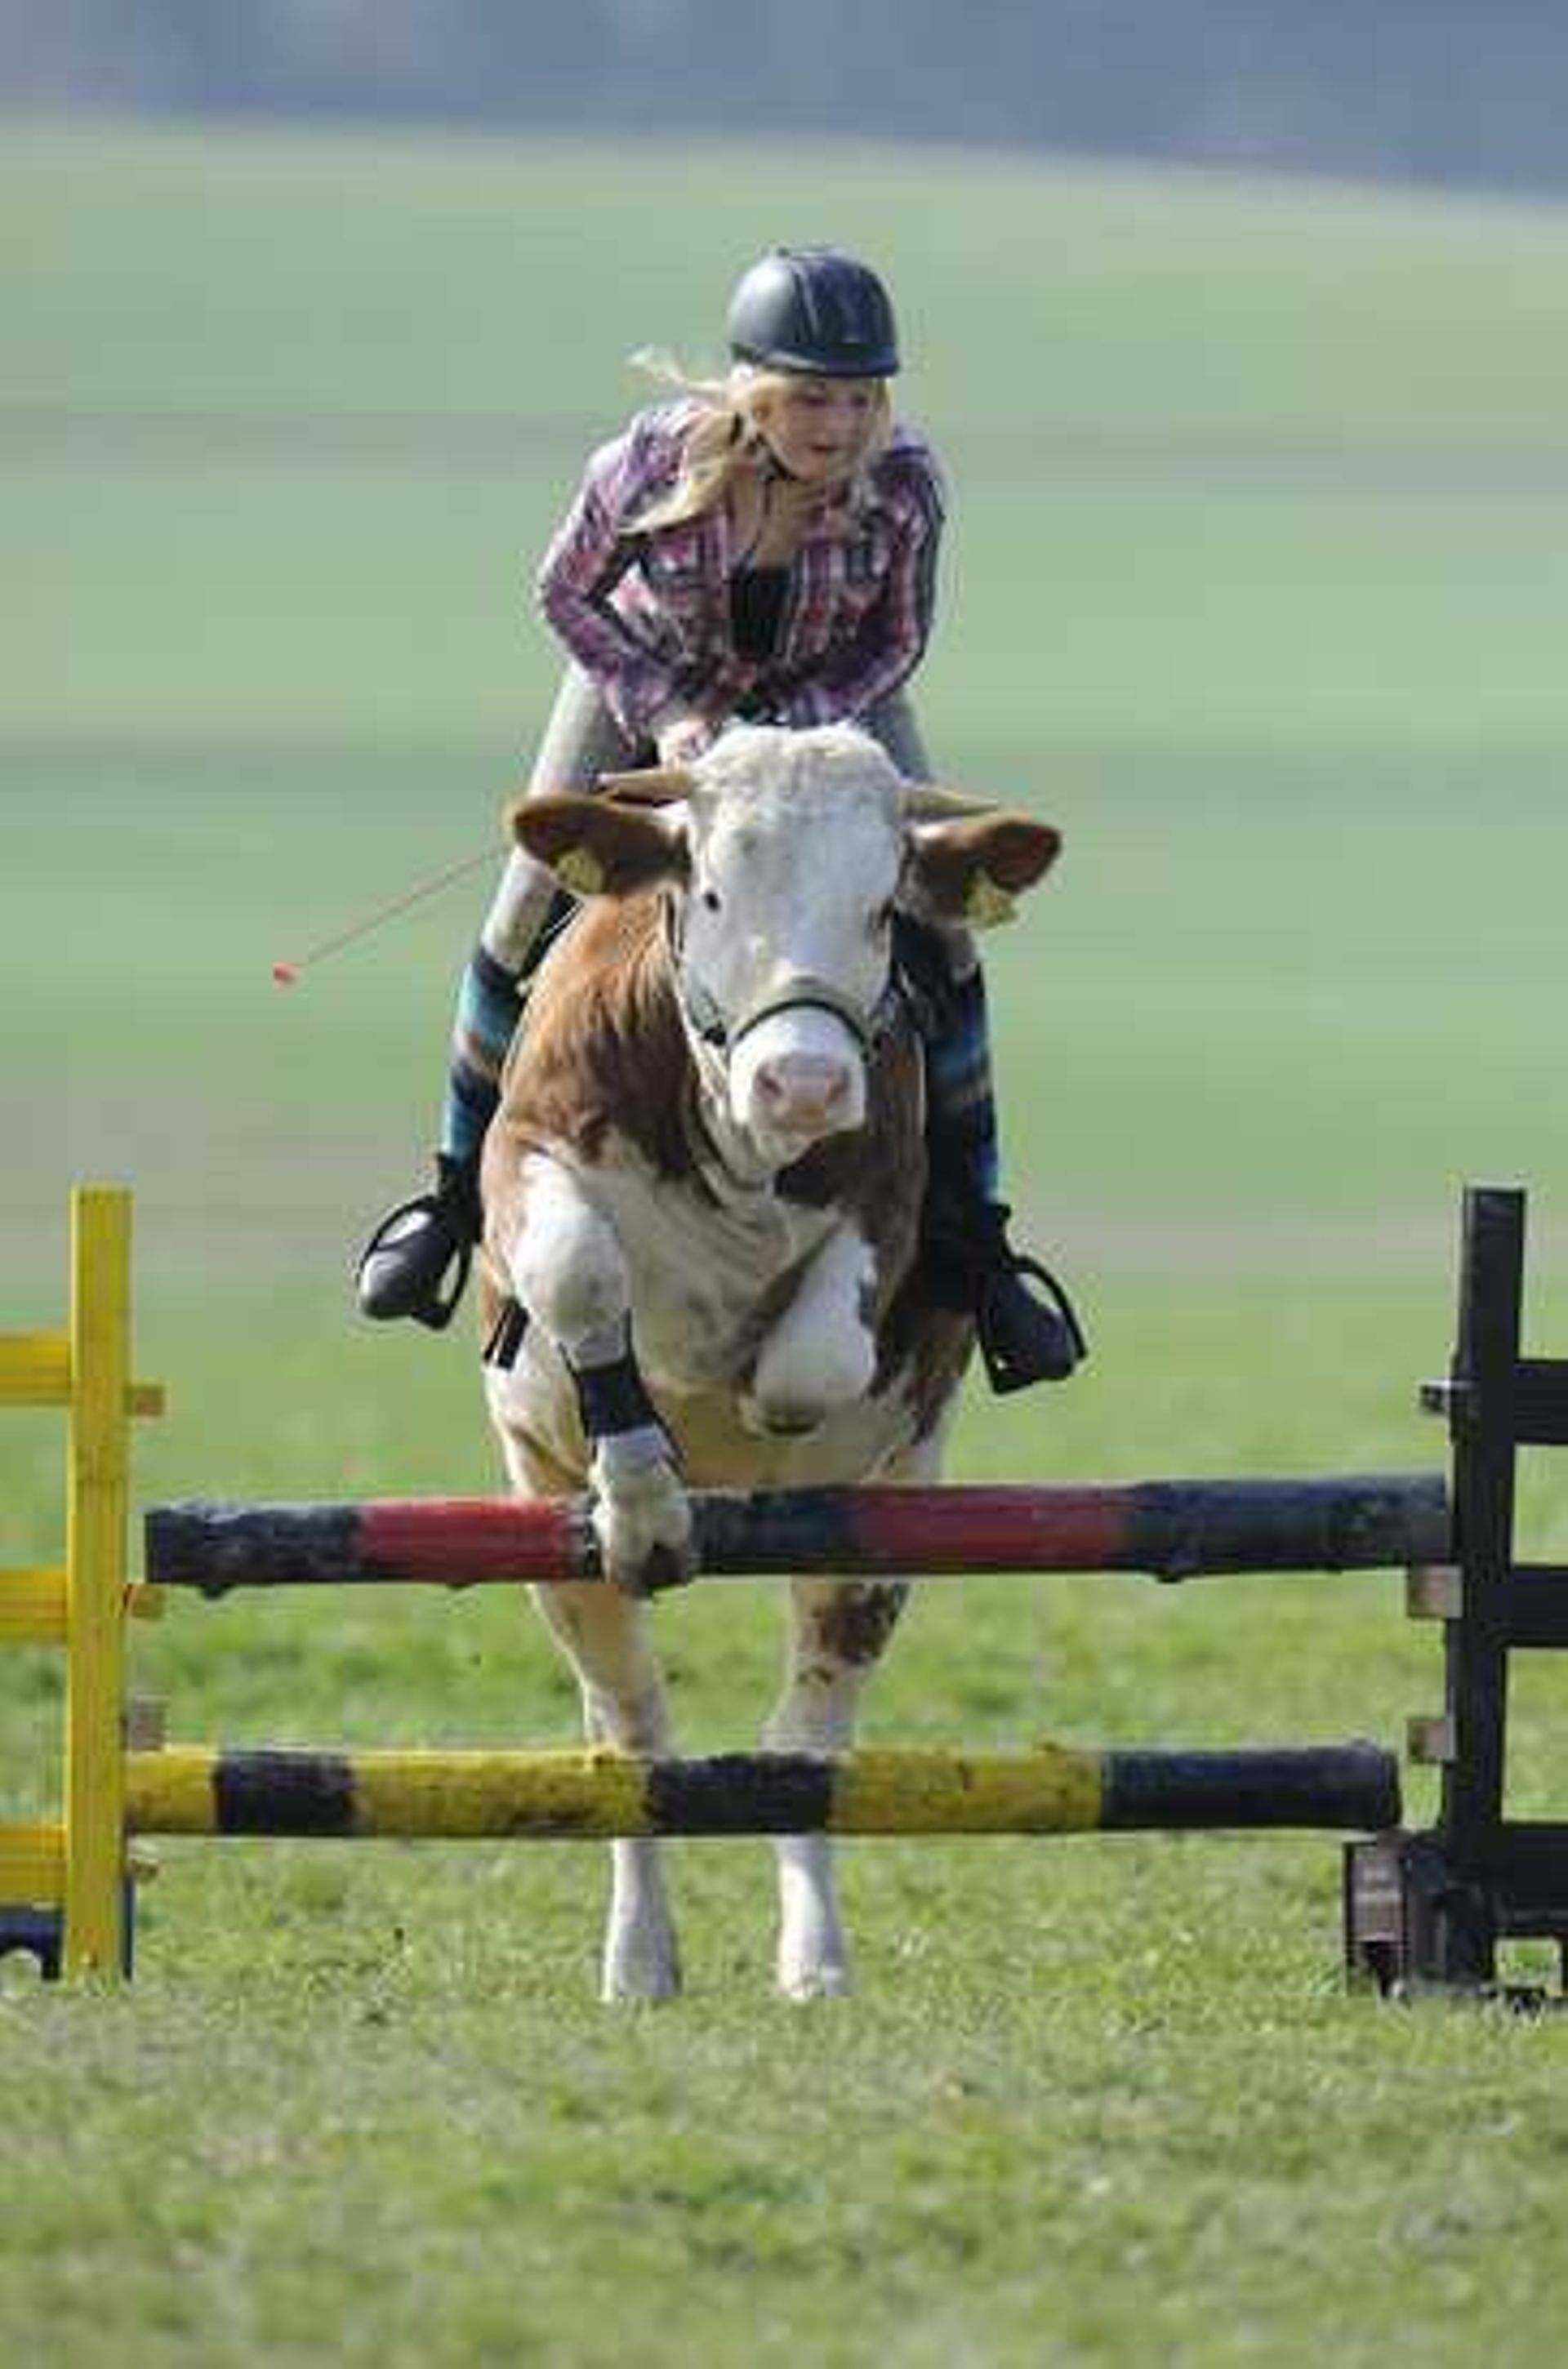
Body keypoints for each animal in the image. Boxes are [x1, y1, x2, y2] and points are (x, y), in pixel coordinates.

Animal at [477, 722, 1061, 2000]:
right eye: (708, 888)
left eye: (884, 907)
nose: (804, 1083)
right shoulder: (530, 1155)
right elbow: (583, 1272)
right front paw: (650, 1502)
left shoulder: (893, 1209)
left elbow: (811, 1360)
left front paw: (744, 1408)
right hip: (543, 1521)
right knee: (630, 1734)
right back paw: (640, 1959)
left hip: (888, 1537)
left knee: (809, 1739)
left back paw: (814, 1960)